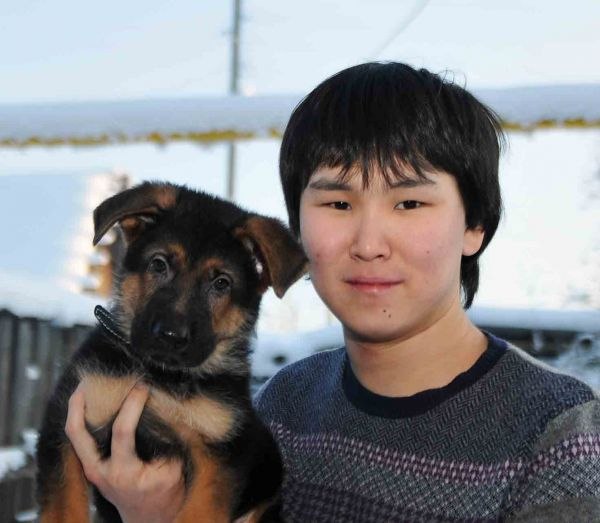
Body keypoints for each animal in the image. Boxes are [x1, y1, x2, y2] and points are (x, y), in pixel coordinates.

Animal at [36, 182, 307, 522]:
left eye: (221, 283)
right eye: (159, 264)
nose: (170, 336)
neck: (160, 376)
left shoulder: (223, 452)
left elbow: (198, 512)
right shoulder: (65, 421)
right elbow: (64, 506)